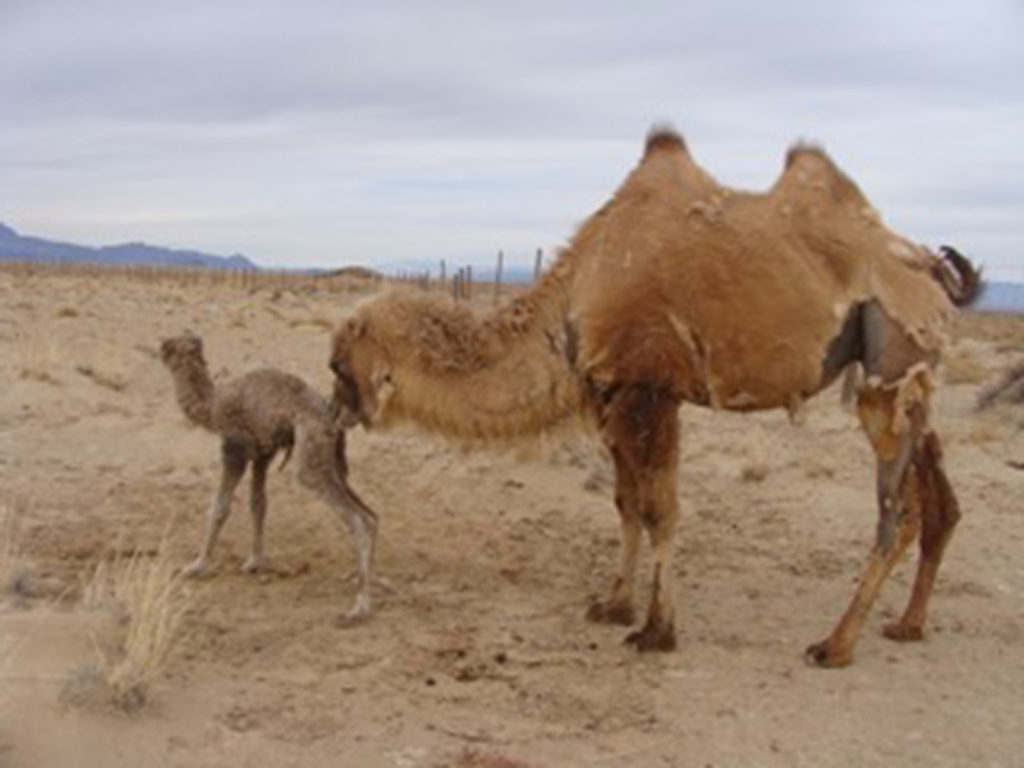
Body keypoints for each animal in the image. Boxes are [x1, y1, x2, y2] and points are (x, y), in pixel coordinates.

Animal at [160, 332, 380, 622]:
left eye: (168, 346)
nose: (159, 346)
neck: (213, 404)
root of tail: (331, 418)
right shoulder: (263, 452)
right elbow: (258, 503)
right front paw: (254, 562)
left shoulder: (234, 448)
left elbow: (220, 507)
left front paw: (197, 566)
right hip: (334, 460)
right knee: (371, 515)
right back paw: (370, 586)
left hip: (309, 456)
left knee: (356, 518)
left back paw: (360, 606)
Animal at [329, 126, 980, 666]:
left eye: (337, 364)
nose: (338, 412)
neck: (571, 296)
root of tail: (932, 271)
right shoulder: (612, 394)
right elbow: (625, 503)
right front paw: (614, 605)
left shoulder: (650, 389)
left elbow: (659, 509)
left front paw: (656, 631)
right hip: (910, 374)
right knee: (938, 499)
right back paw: (907, 624)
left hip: (890, 354)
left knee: (895, 512)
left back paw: (836, 644)